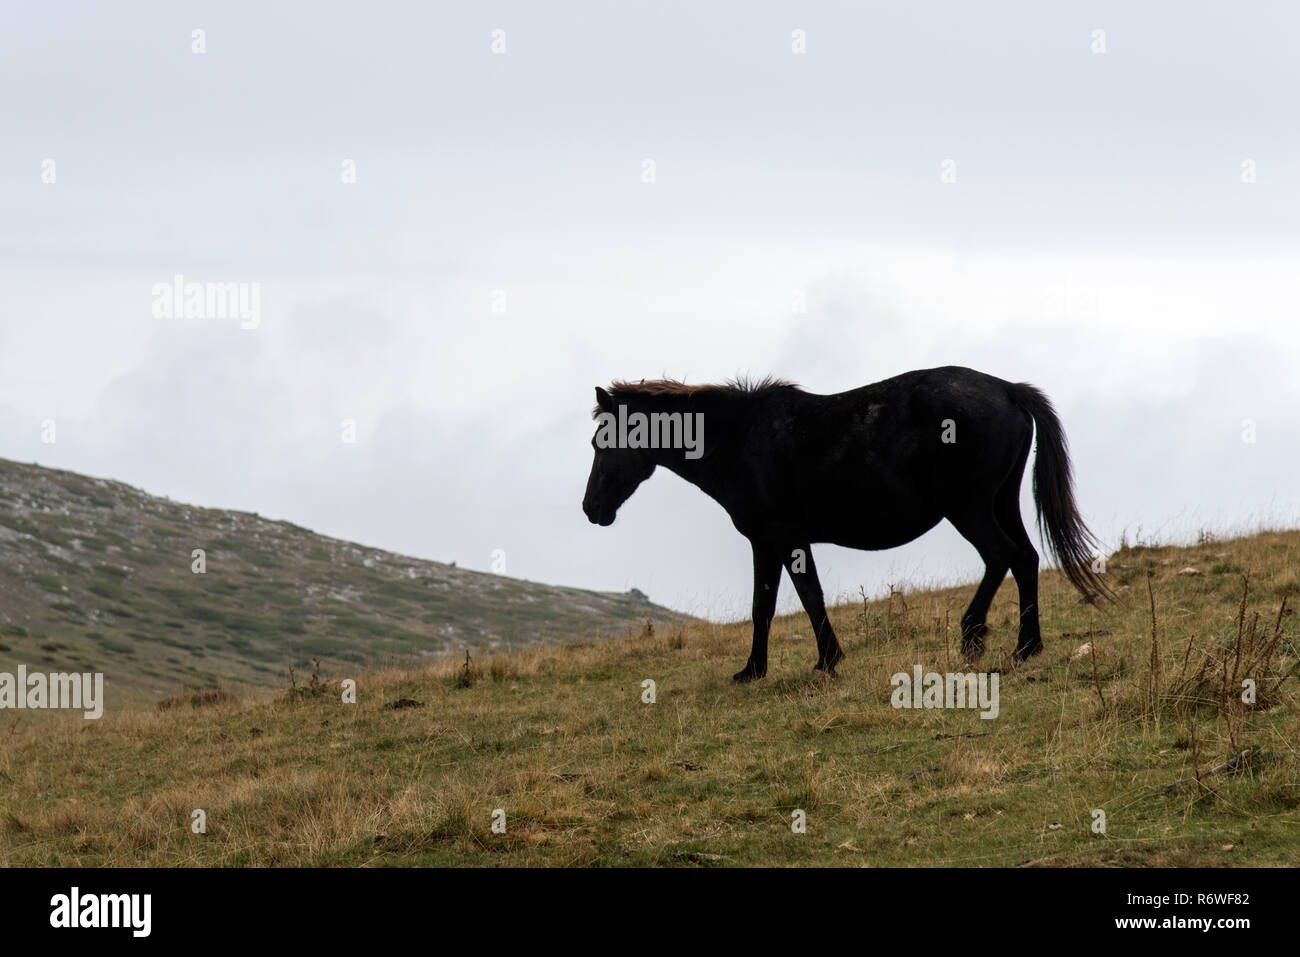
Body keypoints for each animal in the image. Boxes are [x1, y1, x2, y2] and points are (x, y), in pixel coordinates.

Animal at [582, 365, 1110, 682]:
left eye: (603, 440)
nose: (591, 509)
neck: (740, 439)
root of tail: (1008, 390)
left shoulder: (786, 538)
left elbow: (809, 597)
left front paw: (828, 661)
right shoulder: (764, 544)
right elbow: (763, 606)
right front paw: (753, 670)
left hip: (970, 510)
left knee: (1002, 557)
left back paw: (974, 638)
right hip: (1000, 503)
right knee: (1025, 559)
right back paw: (1027, 647)